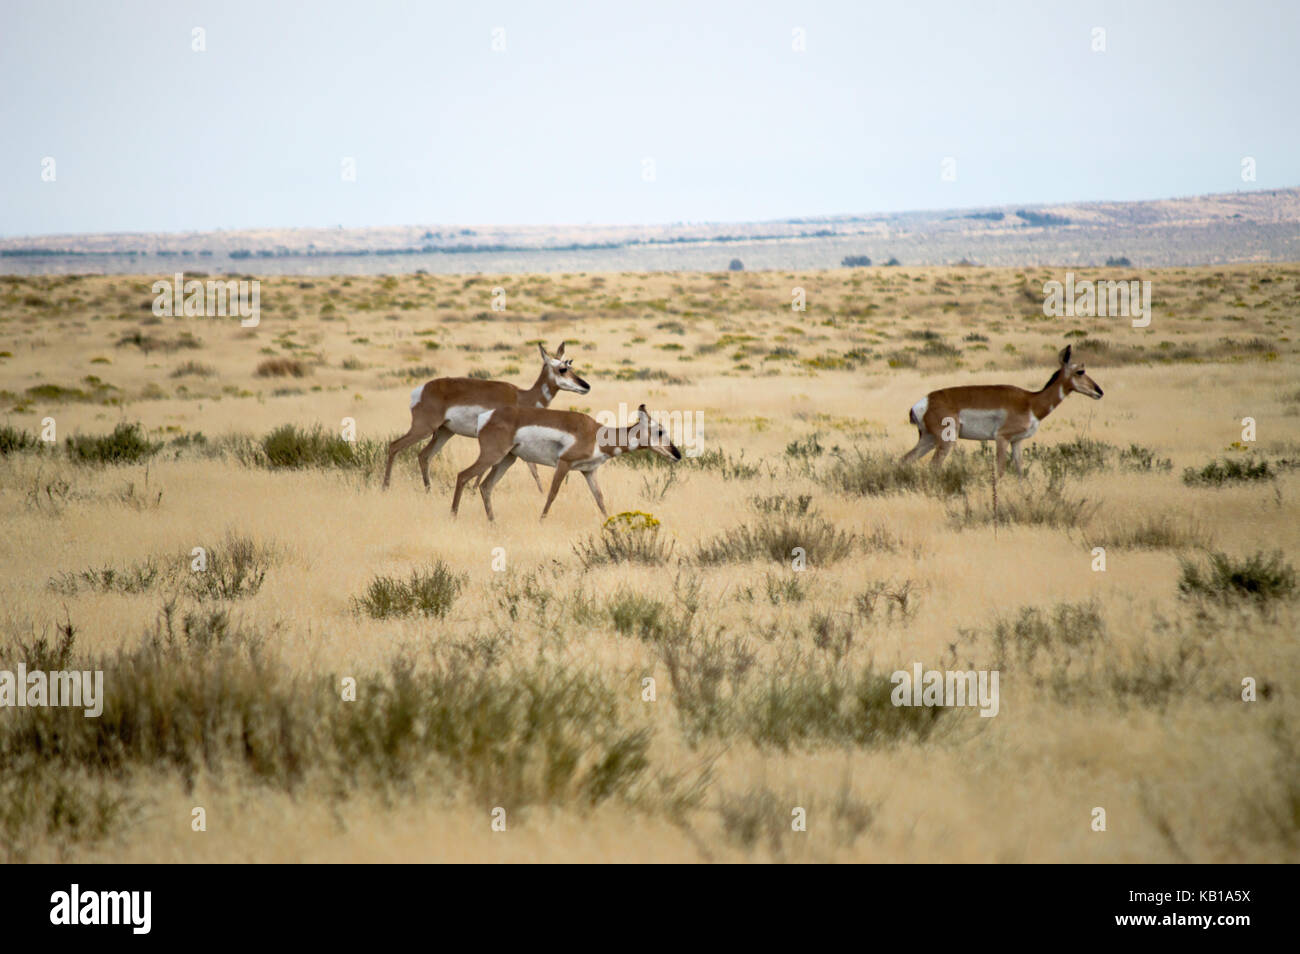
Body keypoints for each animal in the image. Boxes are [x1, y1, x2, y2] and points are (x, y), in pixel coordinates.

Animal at [382, 343, 590, 492]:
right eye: (562, 369)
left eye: (571, 366)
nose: (586, 386)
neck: (522, 396)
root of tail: (421, 389)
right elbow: (530, 467)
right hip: (424, 429)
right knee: (394, 446)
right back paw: (386, 487)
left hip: (444, 432)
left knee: (424, 455)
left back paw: (428, 490)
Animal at [451, 404, 681, 522]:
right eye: (660, 431)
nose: (677, 455)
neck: (596, 434)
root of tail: (487, 416)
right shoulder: (564, 464)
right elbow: (552, 494)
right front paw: (541, 521)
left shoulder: (589, 472)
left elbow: (600, 499)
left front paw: (610, 523)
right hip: (492, 456)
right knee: (463, 476)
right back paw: (453, 516)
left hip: (507, 459)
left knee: (485, 486)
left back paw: (493, 522)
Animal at [901, 345, 1103, 476]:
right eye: (1080, 371)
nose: (1099, 392)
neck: (1031, 401)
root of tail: (923, 402)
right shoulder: (1002, 439)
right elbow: (1001, 471)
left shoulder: (1017, 441)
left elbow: (1020, 471)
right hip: (945, 442)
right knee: (933, 466)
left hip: (928, 440)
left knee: (905, 459)